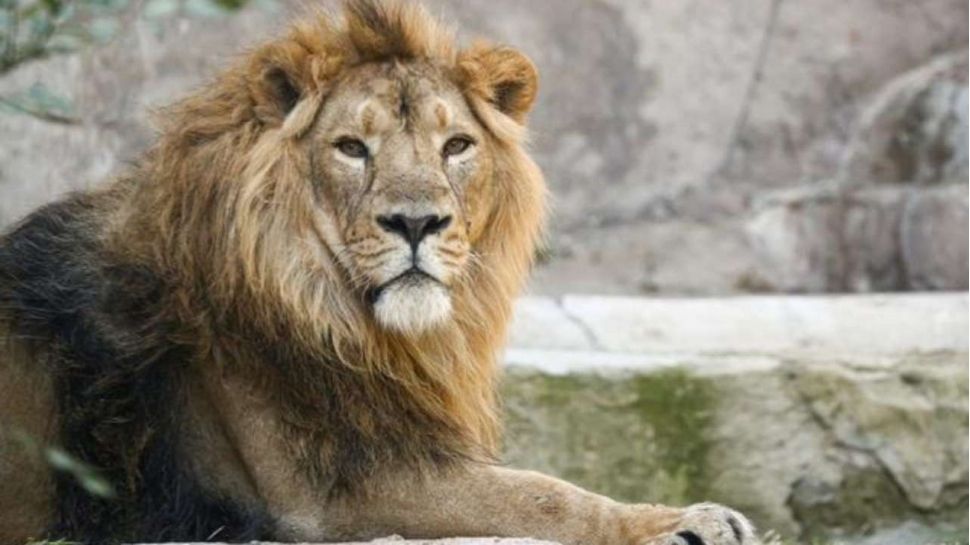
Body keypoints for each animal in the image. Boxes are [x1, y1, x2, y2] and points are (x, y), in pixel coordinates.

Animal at [0, 1, 759, 543]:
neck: (351, 322)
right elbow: (541, 494)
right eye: (351, 148)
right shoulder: (324, 497)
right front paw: (684, 522)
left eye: (456, 146)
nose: (417, 223)